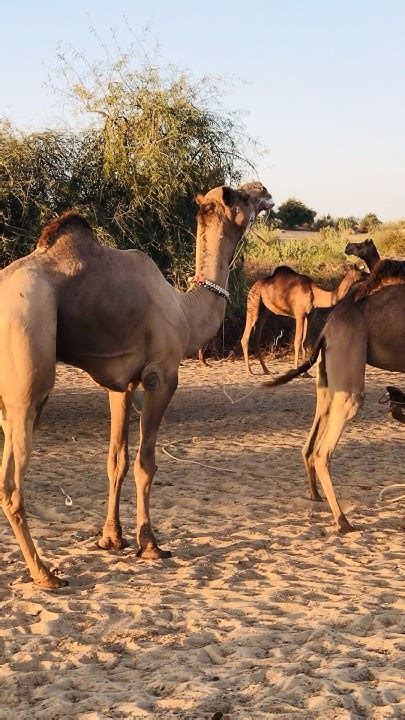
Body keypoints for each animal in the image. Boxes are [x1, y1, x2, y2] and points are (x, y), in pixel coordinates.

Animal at [0, 182, 274, 588]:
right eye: (239, 196)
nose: (264, 190)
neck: (185, 309)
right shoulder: (161, 375)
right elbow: (146, 463)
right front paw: (150, 544)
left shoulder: (120, 383)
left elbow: (117, 460)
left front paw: (111, 538)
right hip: (28, 363)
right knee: (14, 485)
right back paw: (45, 574)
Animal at [264, 277, 405, 533]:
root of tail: (327, 330)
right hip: (348, 373)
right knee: (323, 450)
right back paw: (343, 520)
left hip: (326, 377)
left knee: (311, 439)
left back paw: (315, 496)